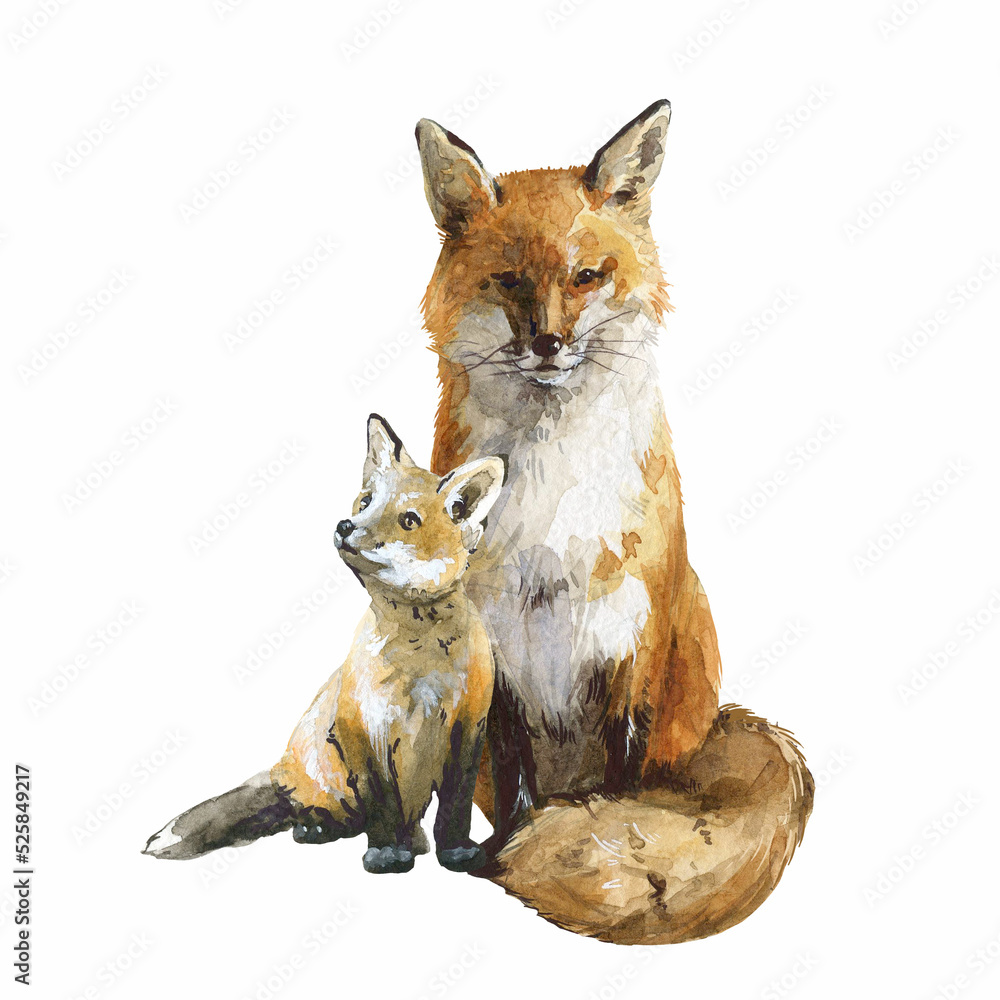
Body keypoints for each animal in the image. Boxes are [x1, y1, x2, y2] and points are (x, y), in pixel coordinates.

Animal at [144, 415, 504, 874]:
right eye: (365, 502)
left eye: (409, 520)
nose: (345, 527)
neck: (418, 663)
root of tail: (281, 771)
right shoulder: (362, 729)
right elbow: (381, 803)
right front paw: (387, 854)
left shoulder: (469, 728)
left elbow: (455, 805)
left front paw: (456, 852)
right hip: (327, 779)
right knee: (317, 815)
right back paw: (319, 829)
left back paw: (415, 841)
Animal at [415, 100, 814, 941]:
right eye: (509, 281)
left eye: (586, 276)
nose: (546, 343)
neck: (552, 501)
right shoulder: (498, 640)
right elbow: (516, 775)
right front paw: (505, 850)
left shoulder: (635, 634)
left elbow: (625, 787)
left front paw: (602, 838)